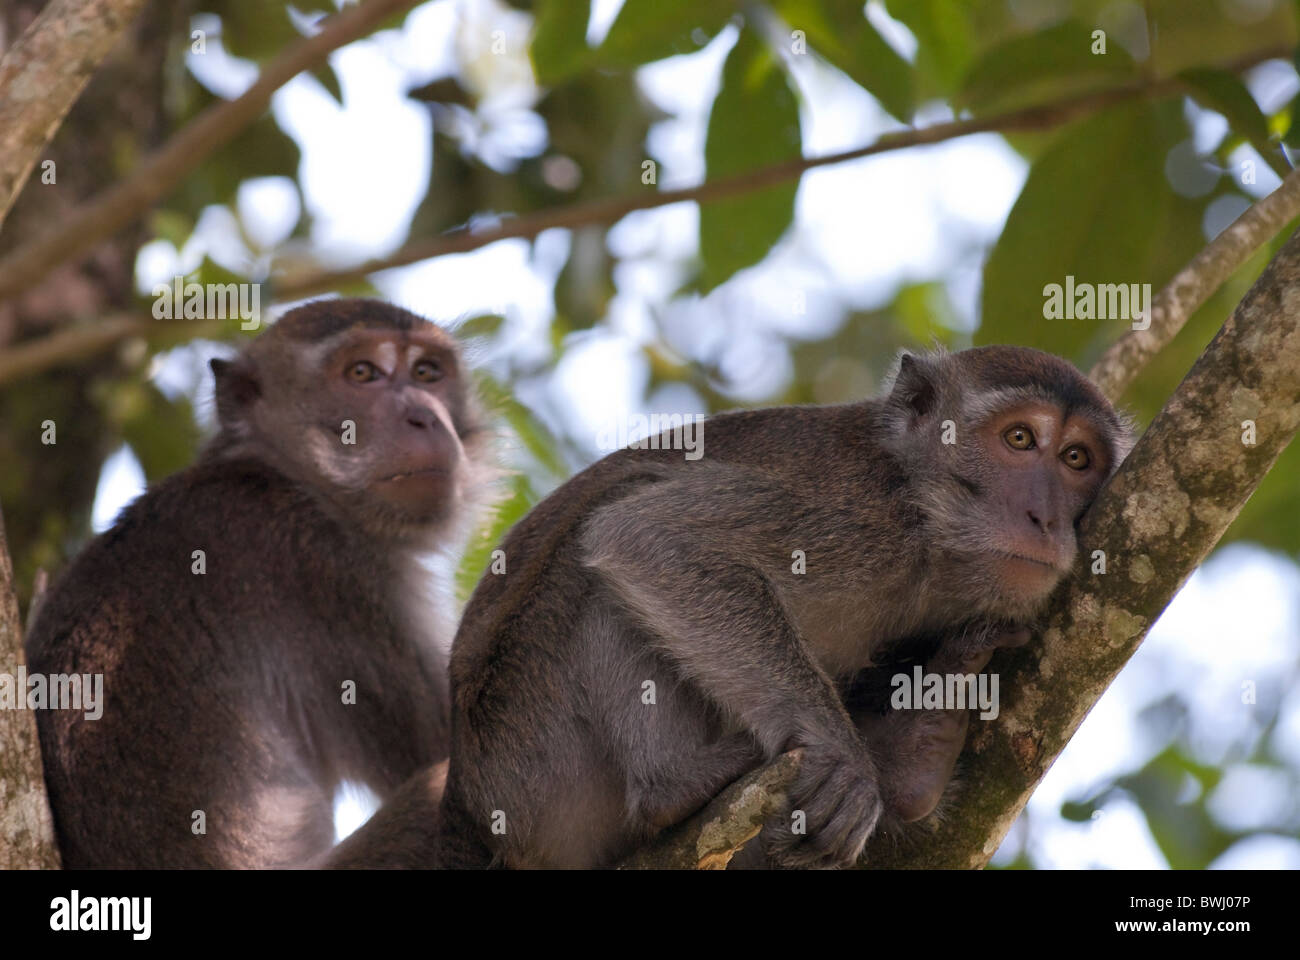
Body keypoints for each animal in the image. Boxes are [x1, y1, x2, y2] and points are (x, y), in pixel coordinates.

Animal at [24, 298, 493, 868]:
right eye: (362, 373)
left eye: (427, 373)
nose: (425, 417)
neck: (283, 475)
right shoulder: (330, 570)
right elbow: (451, 745)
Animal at [435, 345, 1132, 869]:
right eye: (1019, 438)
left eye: (1076, 459)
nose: (1045, 518)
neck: (929, 519)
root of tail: (463, 803)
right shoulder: (856, 518)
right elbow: (647, 537)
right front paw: (841, 756)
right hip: (531, 757)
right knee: (601, 534)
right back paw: (676, 785)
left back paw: (914, 759)